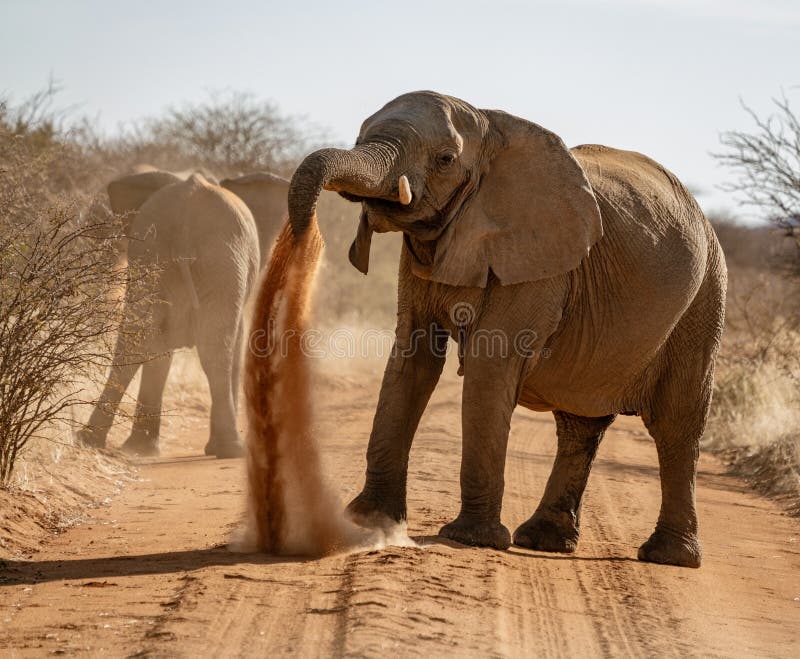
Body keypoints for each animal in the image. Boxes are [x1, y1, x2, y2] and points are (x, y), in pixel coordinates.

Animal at [79, 170, 289, 457]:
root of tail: (184, 220)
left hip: (156, 256)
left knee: (136, 343)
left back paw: (96, 440)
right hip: (221, 263)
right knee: (215, 352)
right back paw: (230, 449)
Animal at [278, 91, 727, 567]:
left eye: (445, 159)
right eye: (360, 136)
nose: (303, 237)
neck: (490, 130)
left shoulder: (539, 256)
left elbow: (489, 365)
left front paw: (470, 538)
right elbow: (411, 359)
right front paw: (369, 522)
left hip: (705, 299)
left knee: (676, 425)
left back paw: (668, 557)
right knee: (579, 425)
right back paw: (544, 540)